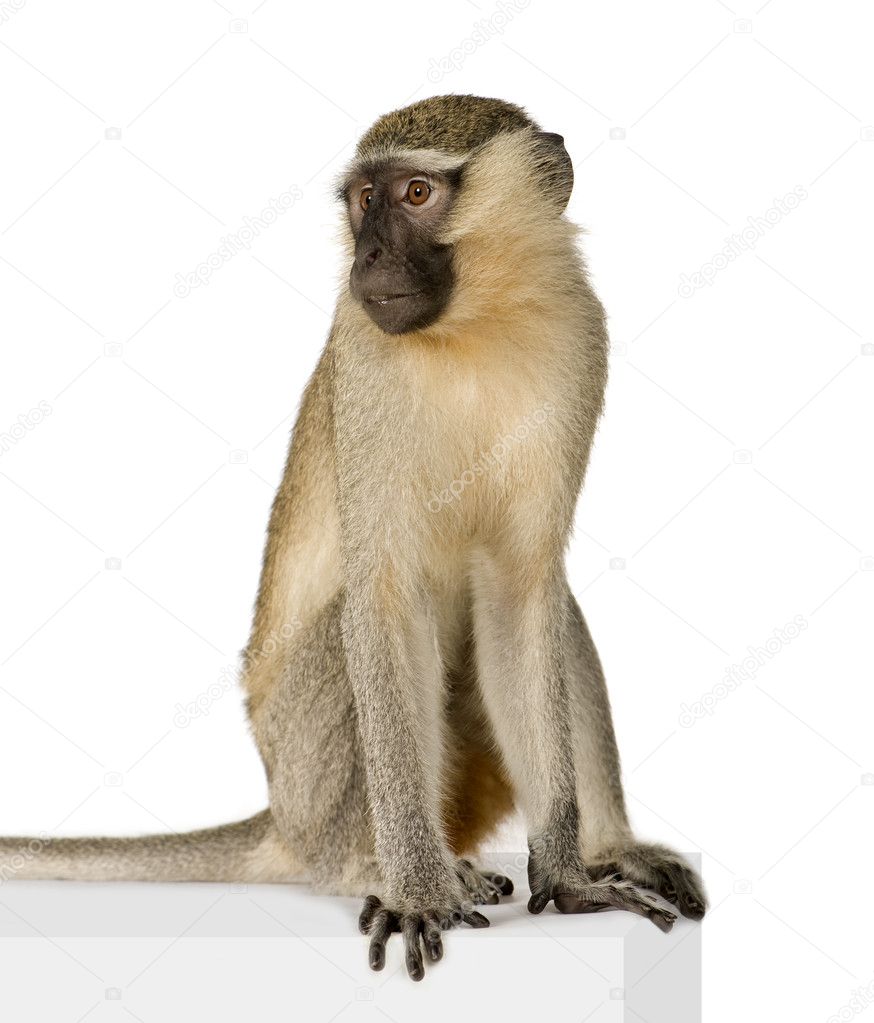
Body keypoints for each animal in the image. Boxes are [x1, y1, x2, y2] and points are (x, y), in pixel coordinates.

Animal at [0, 94, 706, 981]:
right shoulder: (366, 359)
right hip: (306, 769)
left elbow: (523, 591)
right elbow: (383, 598)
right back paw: (371, 864)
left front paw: (571, 875)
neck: (477, 323)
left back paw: (606, 845)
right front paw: (416, 894)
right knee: (353, 632)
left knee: (554, 609)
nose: (367, 254)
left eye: (414, 194)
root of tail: (282, 817)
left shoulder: (582, 337)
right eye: (363, 200)